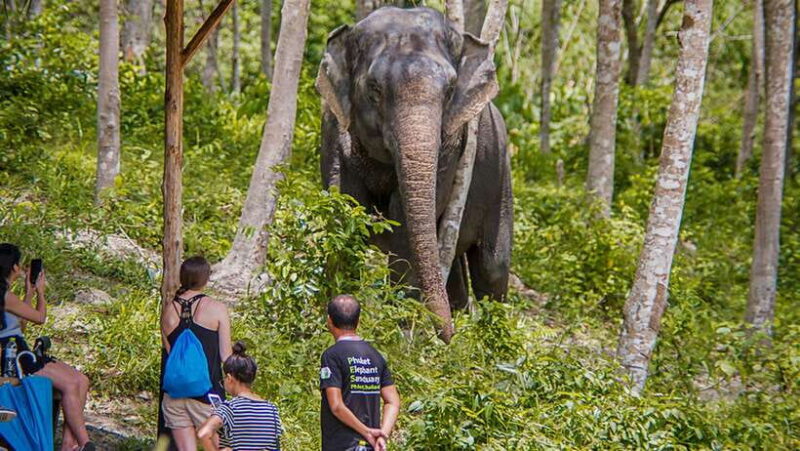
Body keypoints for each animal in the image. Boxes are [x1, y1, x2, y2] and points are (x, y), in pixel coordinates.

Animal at [316, 7, 513, 339]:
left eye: (450, 90)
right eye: (374, 88)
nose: (446, 337)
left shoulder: (451, 145)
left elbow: (404, 223)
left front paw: (401, 331)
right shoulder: (333, 125)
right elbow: (344, 209)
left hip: (501, 177)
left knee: (492, 264)